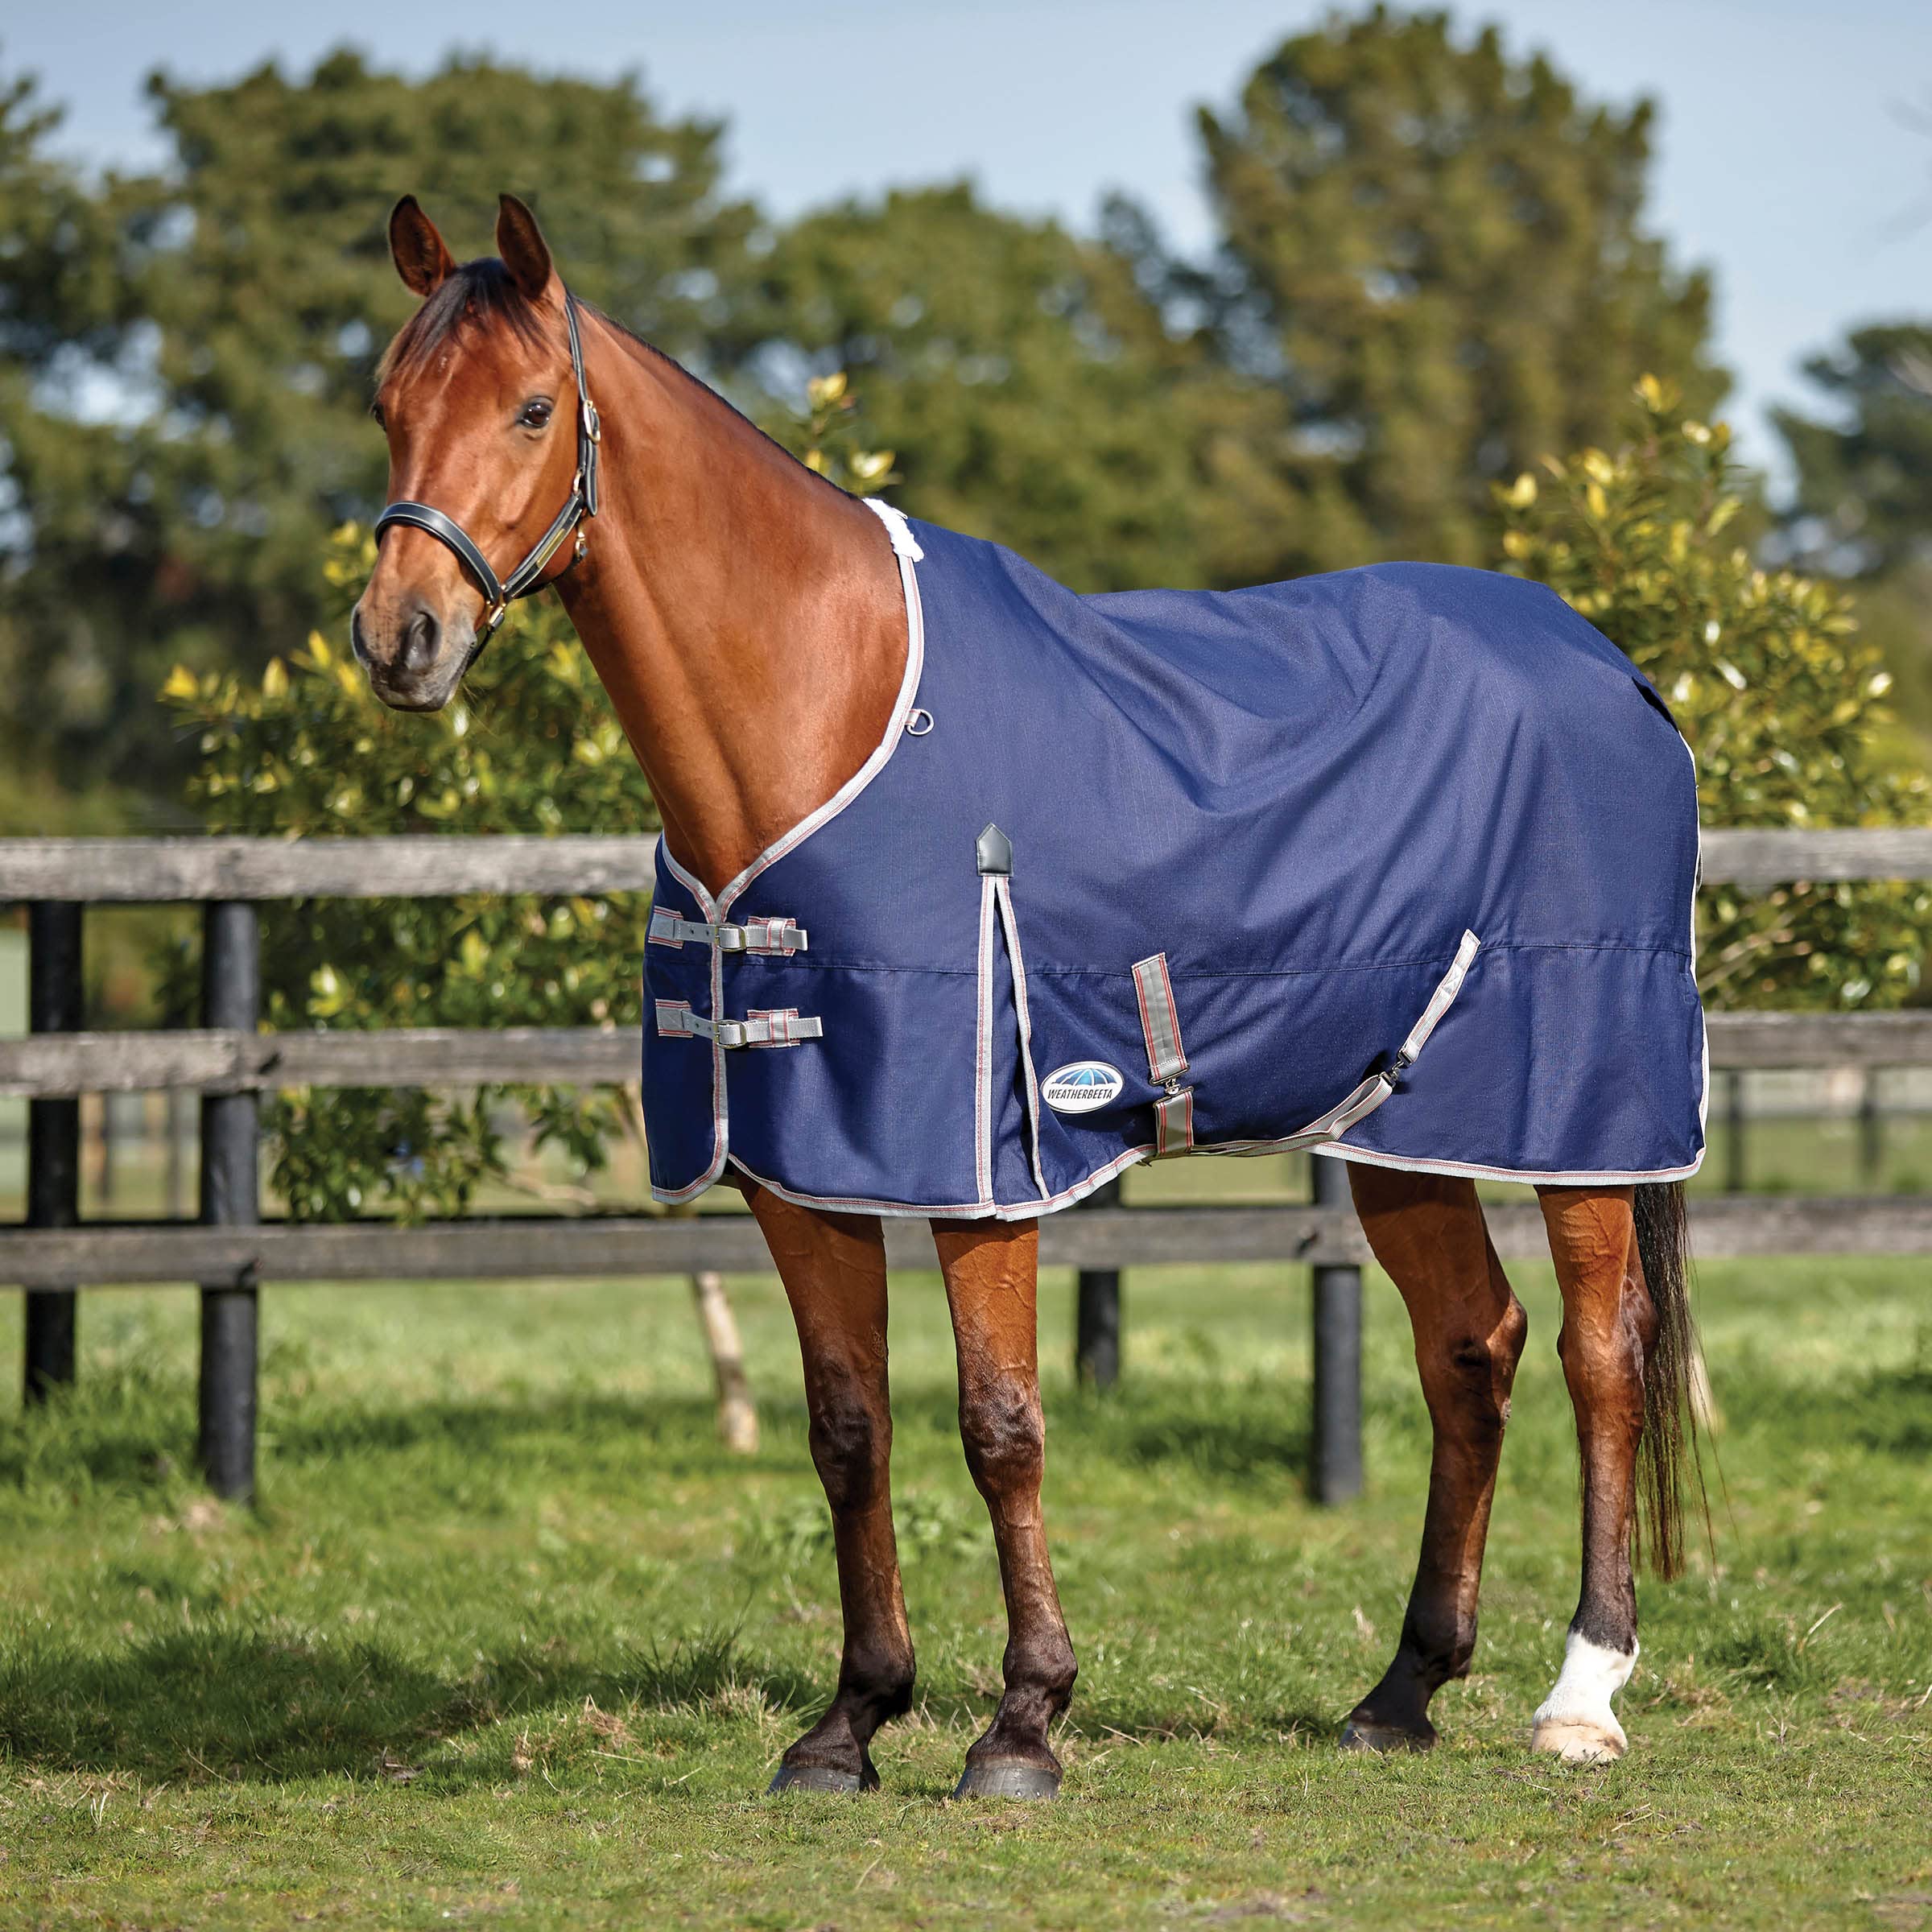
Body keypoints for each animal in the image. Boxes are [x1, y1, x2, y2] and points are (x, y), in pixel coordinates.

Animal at [351, 193, 1705, 1797]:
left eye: (530, 408)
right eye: (386, 405)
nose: (399, 638)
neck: (826, 704)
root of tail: (1610, 668)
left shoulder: (981, 1162)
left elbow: (1000, 1425)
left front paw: (1022, 1722)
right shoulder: (796, 1164)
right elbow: (848, 1428)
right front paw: (851, 1721)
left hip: (1580, 1115)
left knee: (1601, 1359)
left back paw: (1583, 1693)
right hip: (1403, 1128)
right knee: (1470, 1350)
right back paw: (1402, 1688)